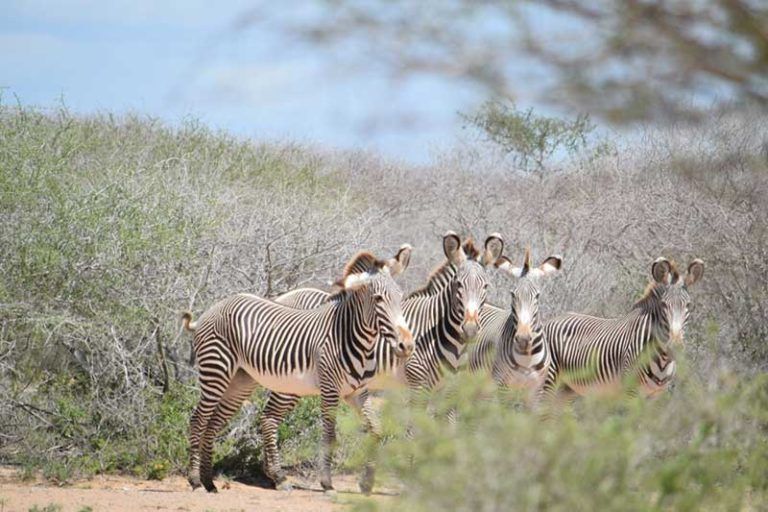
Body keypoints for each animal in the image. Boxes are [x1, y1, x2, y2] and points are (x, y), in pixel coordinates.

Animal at [181, 245, 413, 493]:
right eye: (378, 299)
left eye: (400, 296)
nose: (407, 346)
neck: (353, 338)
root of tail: (212, 309)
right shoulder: (330, 390)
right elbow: (329, 435)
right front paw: (327, 483)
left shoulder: (358, 391)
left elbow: (376, 430)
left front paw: (367, 482)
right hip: (216, 371)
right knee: (198, 420)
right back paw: (196, 481)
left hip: (240, 383)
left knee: (215, 423)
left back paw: (211, 482)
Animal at [267, 231, 504, 491]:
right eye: (459, 285)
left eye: (486, 286)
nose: (469, 330)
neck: (438, 331)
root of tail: (284, 296)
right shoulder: (418, 385)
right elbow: (413, 430)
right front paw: (411, 477)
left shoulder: (450, 389)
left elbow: (448, 430)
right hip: (290, 379)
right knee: (270, 416)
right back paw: (277, 477)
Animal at [467, 248, 562, 403]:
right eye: (513, 295)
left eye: (537, 296)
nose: (523, 339)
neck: (527, 358)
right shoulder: (502, 386)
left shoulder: (536, 391)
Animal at [541, 257, 704, 400]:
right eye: (664, 305)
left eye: (688, 305)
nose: (675, 347)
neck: (662, 360)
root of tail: (550, 320)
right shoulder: (630, 392)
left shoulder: (657, 395)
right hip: (549, 381)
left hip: (567, 388)